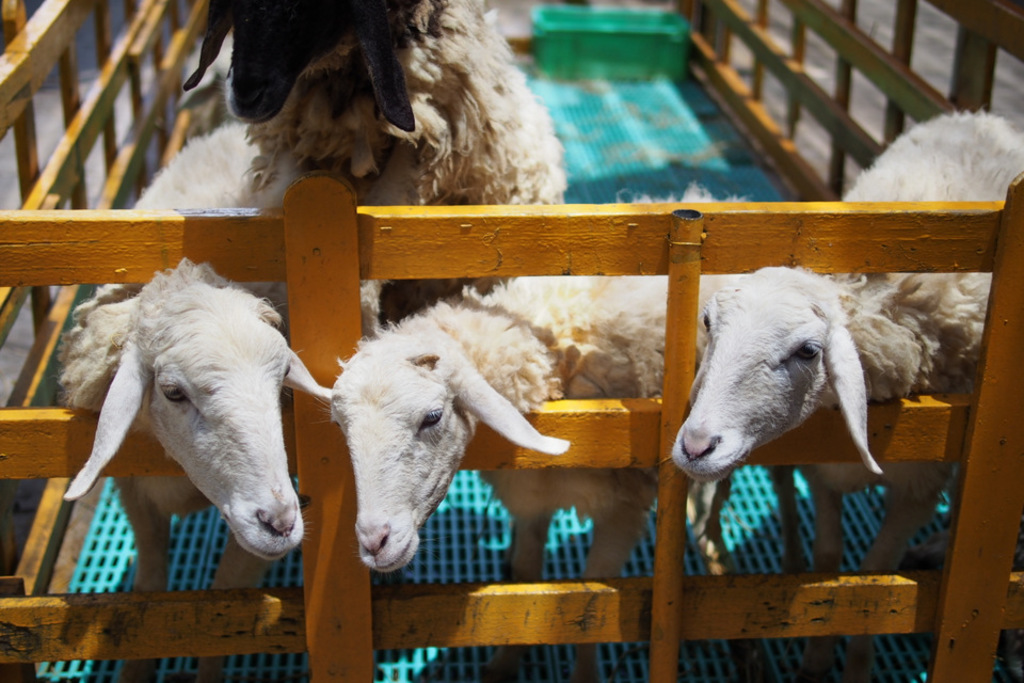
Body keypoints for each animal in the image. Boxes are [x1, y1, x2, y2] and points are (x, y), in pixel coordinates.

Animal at [59, 258, 330, 683]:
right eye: (172, 392)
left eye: (284, 373)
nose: (281, 524)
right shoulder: (134, 494)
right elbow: (147, 591)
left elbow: (223, 605)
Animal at [329, 275, 669, 682]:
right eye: (339, 426)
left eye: (432, 416)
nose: (373, 541)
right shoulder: (532, 496)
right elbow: (525, 582)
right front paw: (506, 661)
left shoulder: (624, 510)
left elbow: (595, 597)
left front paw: (584, 674)